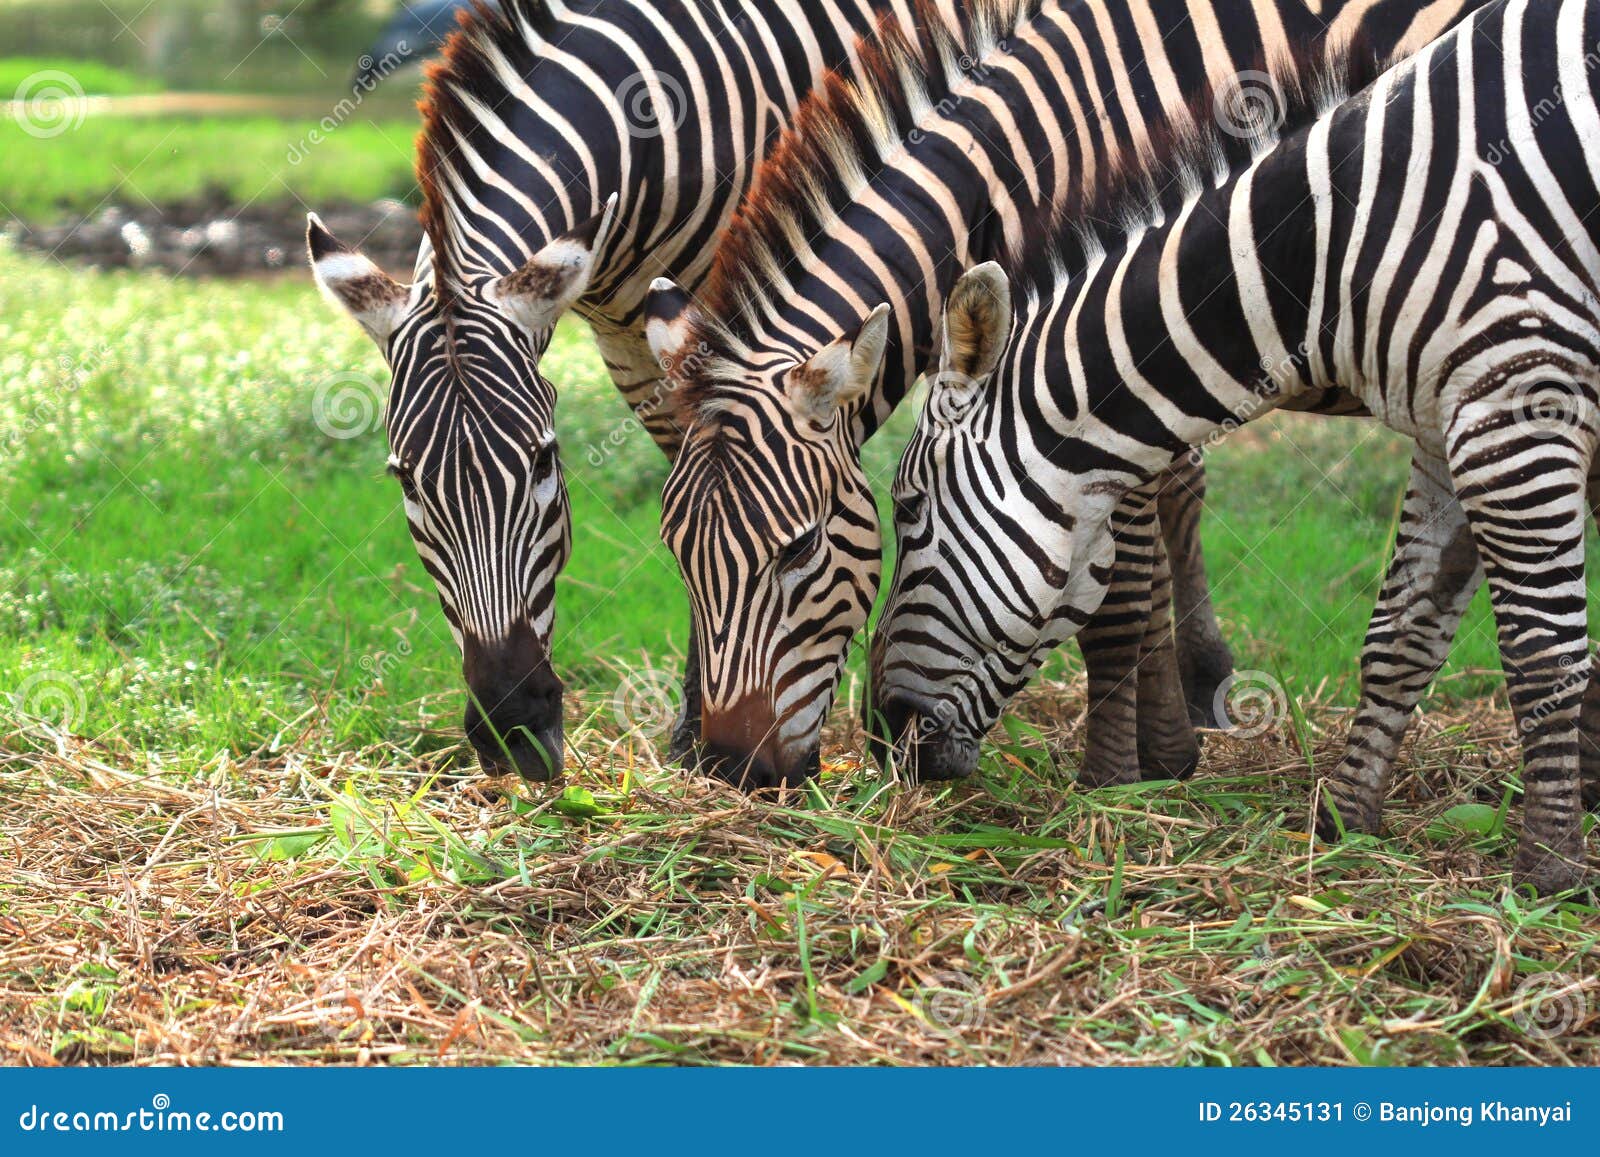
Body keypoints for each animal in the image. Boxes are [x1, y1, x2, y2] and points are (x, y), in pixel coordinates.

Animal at [644, 0, 1493, 790]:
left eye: (799, 549)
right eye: (678, 555)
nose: (730, 769)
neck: (1046, 147)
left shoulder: (1126, 341)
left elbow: (1123, 582)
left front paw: (1124, 770)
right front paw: (1169, 737)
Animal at [873, 0, 1600, 894]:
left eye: (908, 507)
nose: (882, 738)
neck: (1334, 245)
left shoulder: (1517, 403)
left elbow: (1542, 649)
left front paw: (1550, 868)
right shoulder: (1447, 419)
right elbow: (1400, 634)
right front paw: (1345, 823)